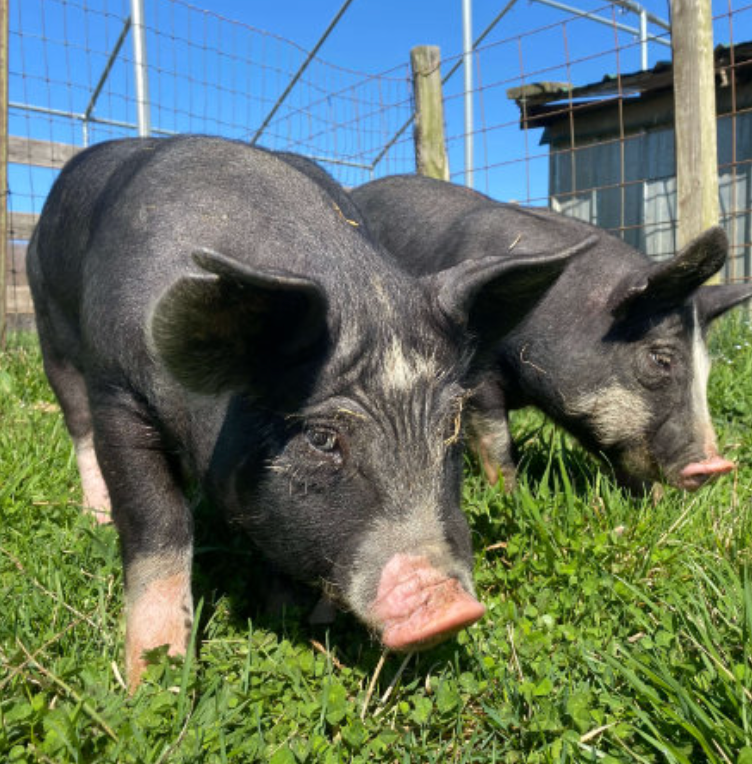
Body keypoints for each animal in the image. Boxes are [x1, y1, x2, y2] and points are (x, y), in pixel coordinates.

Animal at [27, 136, 582, 688]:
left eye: (451, 425)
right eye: (320, 438)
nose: (453, 608)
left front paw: (297, 616)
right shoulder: (117, 390)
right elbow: (156, 526)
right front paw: (153, 680)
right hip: (50, 334)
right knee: (77, 425)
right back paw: (96, 517)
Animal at [351, 174, 752, 493]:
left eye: (707, 369)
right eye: (661, 359)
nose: (718, 465)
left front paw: (649, 503)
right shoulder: (477, 377)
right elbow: (496, 443)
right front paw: (510, 498)